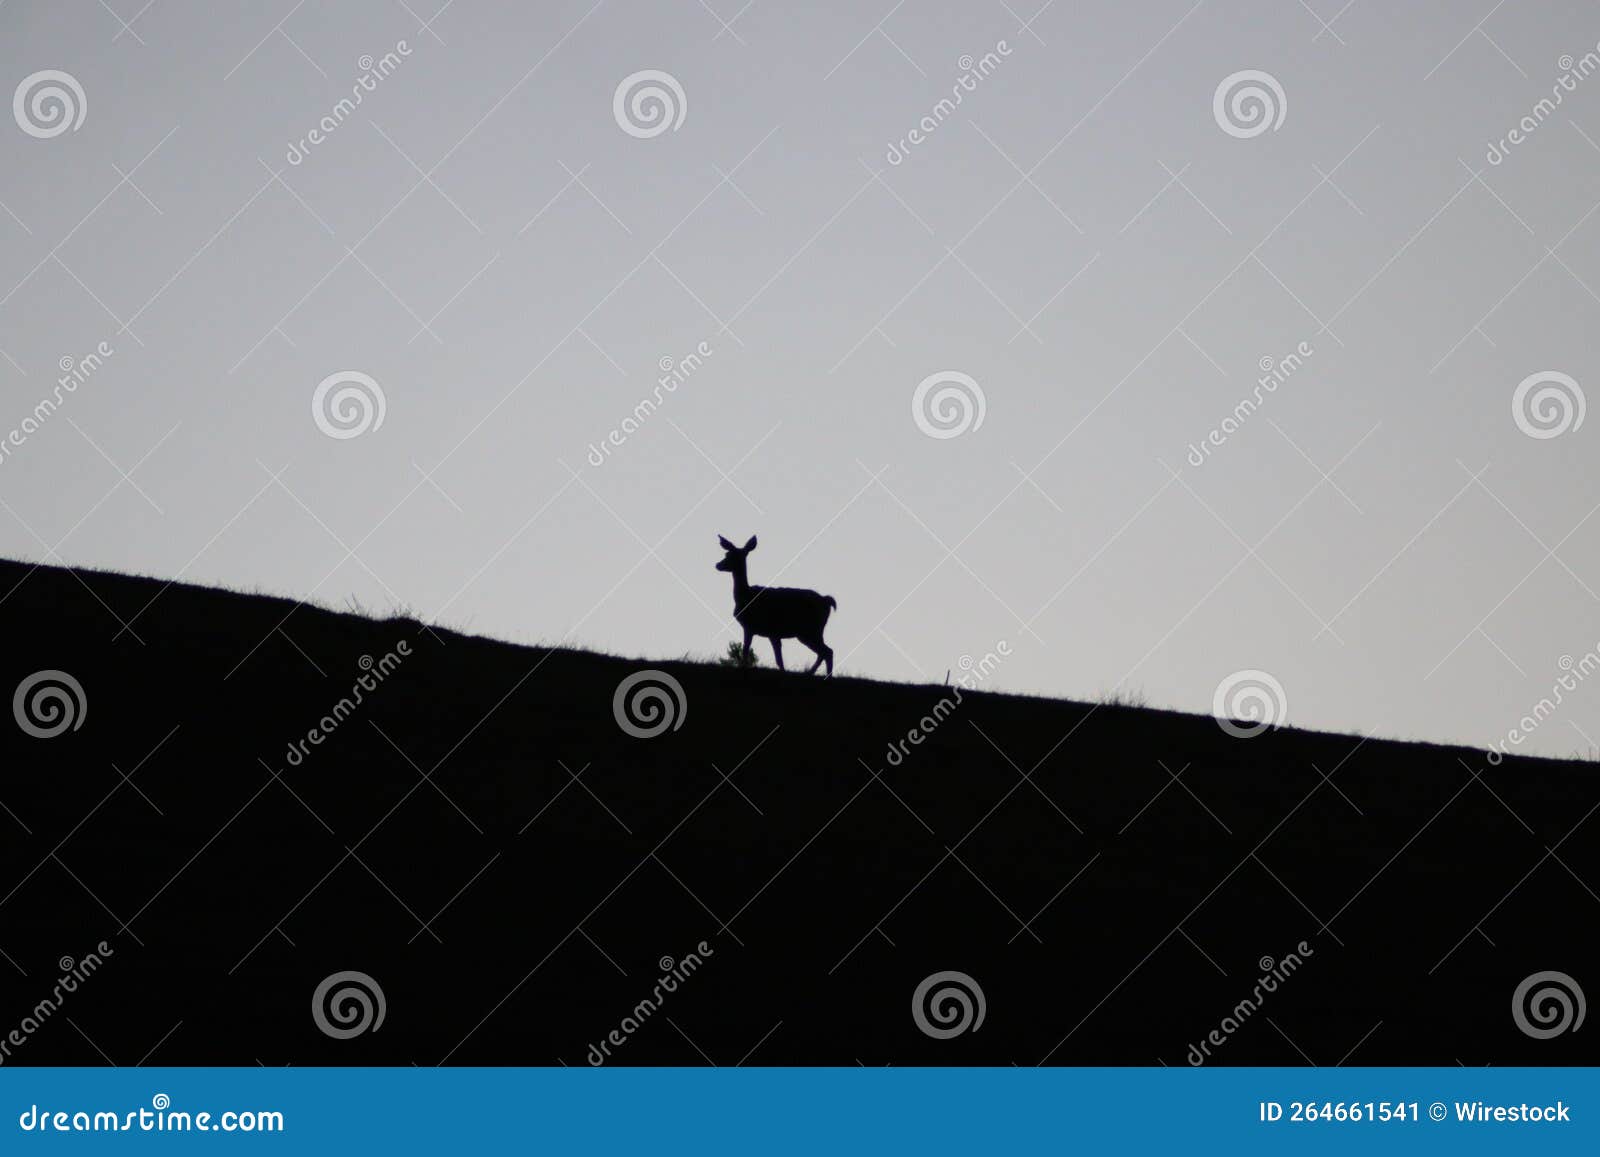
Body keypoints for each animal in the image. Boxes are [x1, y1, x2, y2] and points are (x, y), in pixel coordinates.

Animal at [715, 535, 836, 676]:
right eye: (727, 553)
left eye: (732, 555)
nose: (717, 565)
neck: (745, 596)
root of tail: (826, 600)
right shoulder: (772, 633)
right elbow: (778, 658)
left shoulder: (751, 627)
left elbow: (747, 651)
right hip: (812, 632)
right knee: (826, 651)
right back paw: (814, 673)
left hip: (810, 630)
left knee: (827, 651)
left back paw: (817, 674)